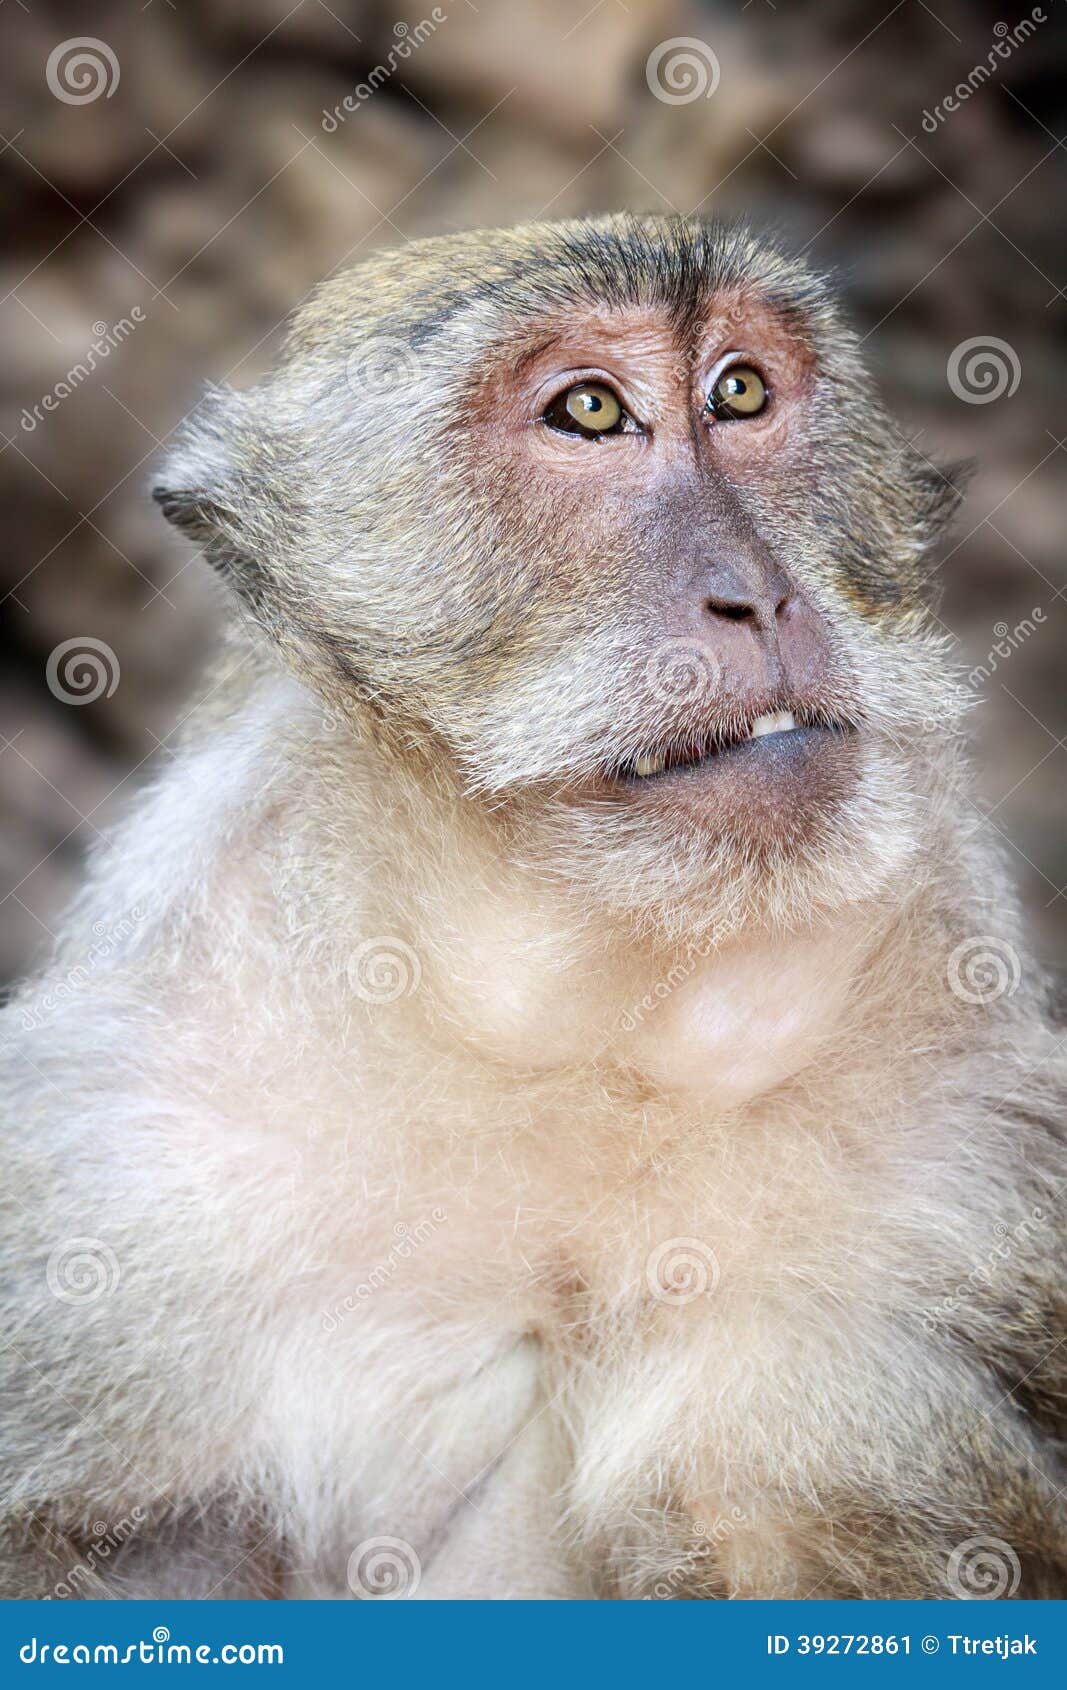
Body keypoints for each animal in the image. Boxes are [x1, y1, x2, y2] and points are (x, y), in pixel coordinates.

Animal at [1, 212, 1065, 1601]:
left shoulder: (972, 1136)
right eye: (589, 411)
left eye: (739, 393)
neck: (573, 1022)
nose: (757, 594)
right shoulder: (118, 1159)